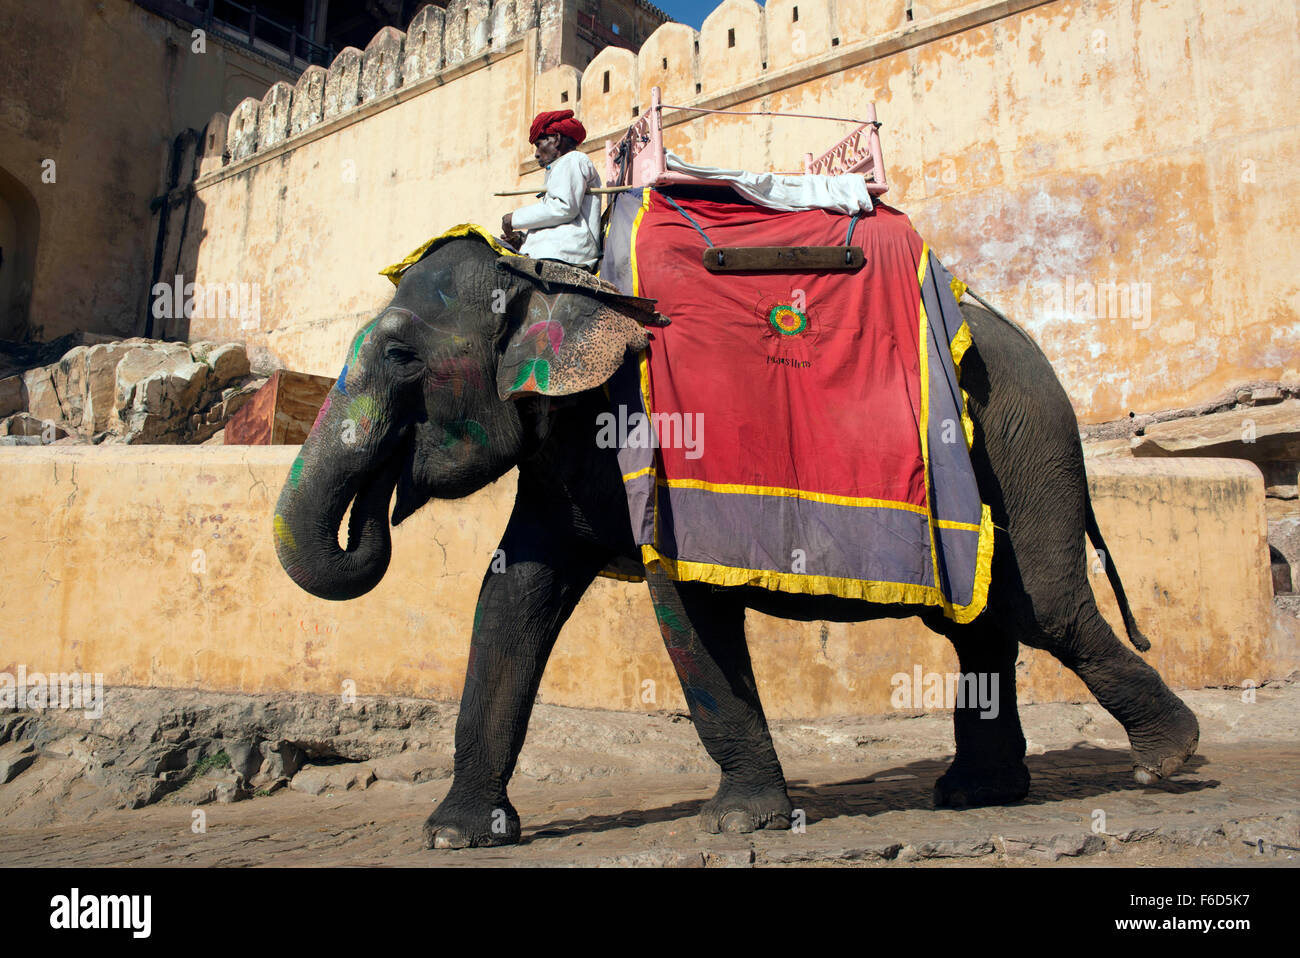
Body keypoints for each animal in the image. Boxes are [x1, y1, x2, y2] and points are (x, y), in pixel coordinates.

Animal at [273, 231, 1200, 849]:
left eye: (400, 354)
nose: (380, 506)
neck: (559, 280)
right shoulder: (563, 452)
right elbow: (512, 595)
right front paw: (457, 836)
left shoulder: (655, 438)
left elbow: (685, 598)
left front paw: (736, 824)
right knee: (980, 626)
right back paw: (978, 794)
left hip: (1022, 443)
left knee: (1041, 608)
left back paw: (1166, 763)